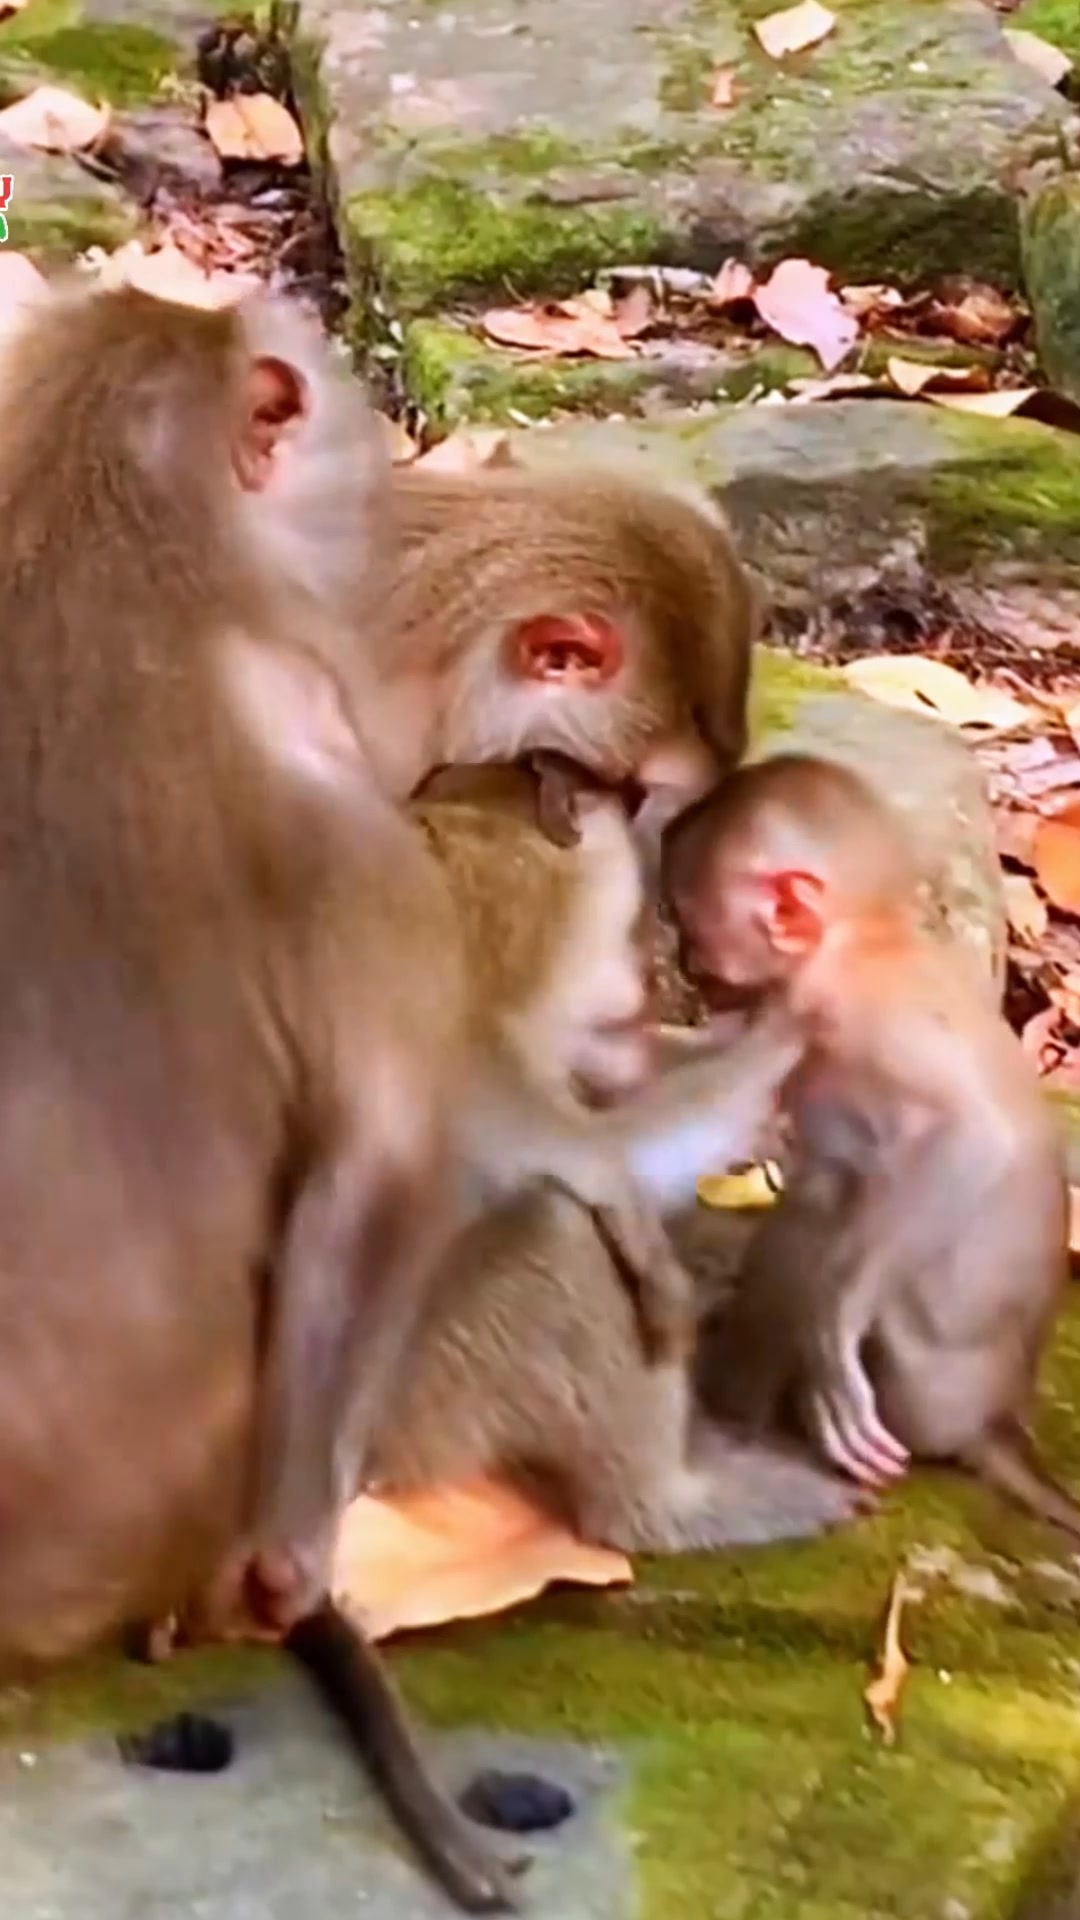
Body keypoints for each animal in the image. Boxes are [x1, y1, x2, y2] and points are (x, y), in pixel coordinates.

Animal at [662, 752, 1080, 1543]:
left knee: (826, 1206)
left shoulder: (846, 1008)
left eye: (696, 932)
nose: (690, 968)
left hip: (920, 1387)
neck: (868, 935)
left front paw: (832, 1334)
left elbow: (972, 1136)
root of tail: (997, 1420)